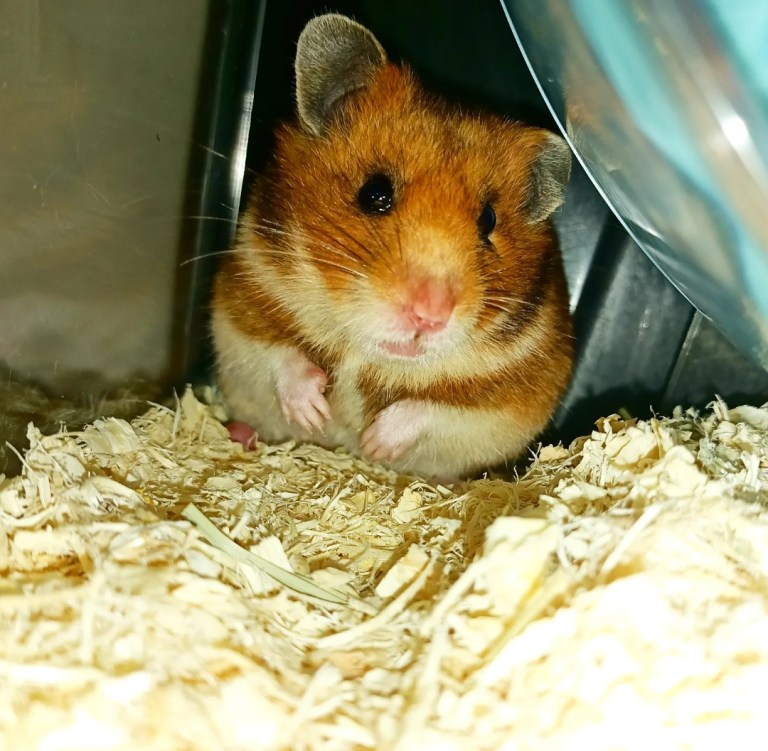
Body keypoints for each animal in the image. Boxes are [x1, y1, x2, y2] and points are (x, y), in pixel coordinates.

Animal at [211, 13, 574, 480]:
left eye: (489, 221)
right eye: (374, 193)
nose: (430, 316)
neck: (366, 353)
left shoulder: (514, 397)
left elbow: (431, 410)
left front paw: (374, 443)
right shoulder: (243, 302)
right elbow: (281, 355)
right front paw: (316, 413)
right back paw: (242, 434)